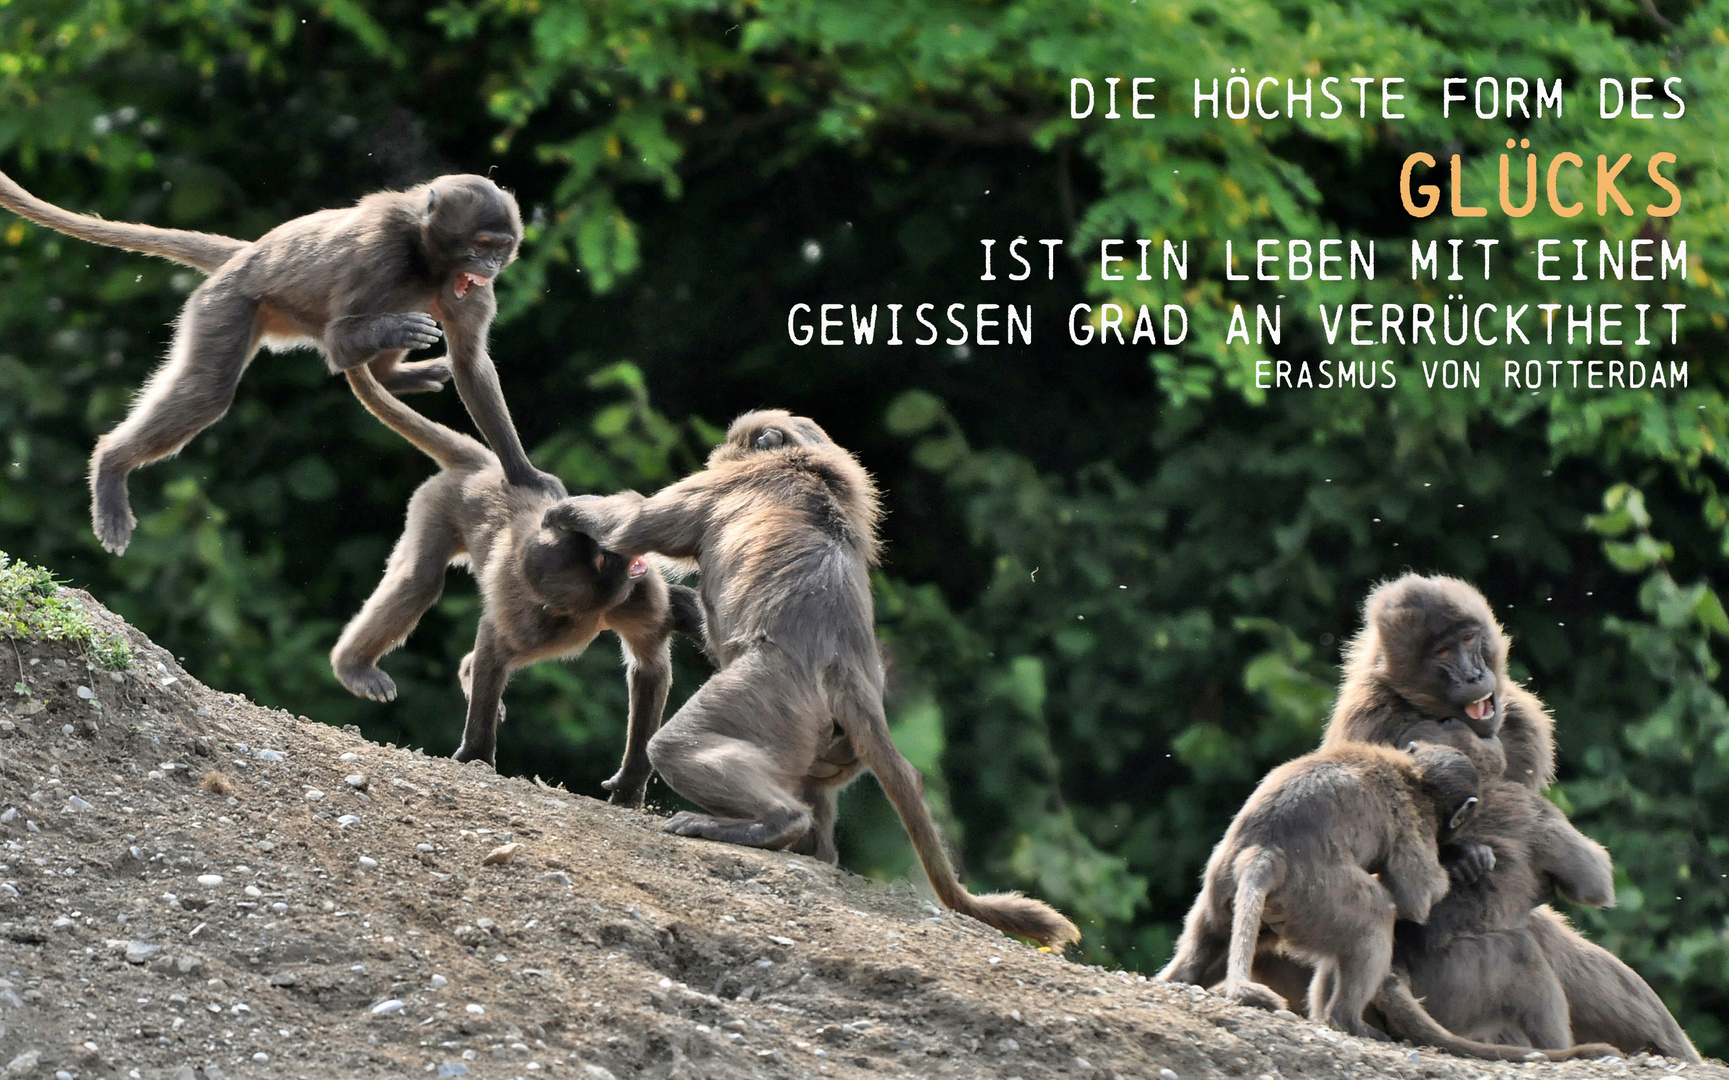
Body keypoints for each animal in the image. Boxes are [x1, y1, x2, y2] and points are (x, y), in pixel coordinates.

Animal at [0, 168, 565, 555]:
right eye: (480, 244)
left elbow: (470, 362)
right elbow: (339, 344)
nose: (490, 265)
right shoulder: (378, 251)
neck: (427, 258)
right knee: (209, 390)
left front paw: (524, 474)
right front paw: (385, 332)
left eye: (501, 248)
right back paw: (111, 466)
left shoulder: (468, 291)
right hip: (230, 301)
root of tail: (245, 253)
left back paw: (395, 376)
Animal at [328, 362, 702, 805]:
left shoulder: (637, 598)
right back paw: (354, 667)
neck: (598, 610)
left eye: (591, 537)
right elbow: (496, 640)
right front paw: (475, 753)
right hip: (438, 504)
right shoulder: (542, 620)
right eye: (600, 556)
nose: (616, 537)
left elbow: (649, 666)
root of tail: (485, 469)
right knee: (420, 580)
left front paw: (629, 785)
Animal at [541, 410, 1082, 950]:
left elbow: (628, 525)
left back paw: (772, 827)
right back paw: (804, 847)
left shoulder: (727, 484)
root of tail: (850, 678)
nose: (716, 455)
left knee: (680, 747)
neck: (810, 467)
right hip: (832, 747)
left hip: (769, 696)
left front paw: (564, 512)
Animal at [1157, 741, 1481, 1038]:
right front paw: (1456, 858)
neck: (1412, 775)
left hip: (1225, 886)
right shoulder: (1412, 820)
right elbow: (1417, 897)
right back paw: (1347, 1019)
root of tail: (1264, 853)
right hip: (1315, 899)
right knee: (1376, 914)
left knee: (1213, 933)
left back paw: (1182, 977)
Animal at [1323, 573, 1699, 1062]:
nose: (1472, 675)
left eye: (1468, 639)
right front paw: (1464, 855)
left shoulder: (1517, 720)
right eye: (1441, 653)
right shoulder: (1372, 725)